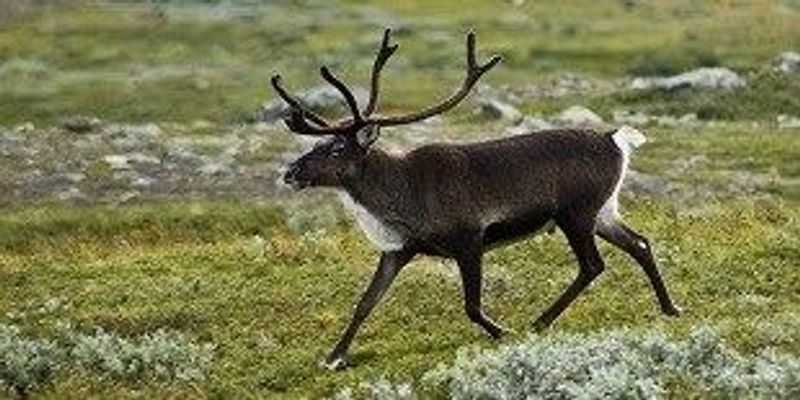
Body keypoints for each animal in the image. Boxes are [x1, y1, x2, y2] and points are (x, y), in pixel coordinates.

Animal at [271, 29, 681, 370]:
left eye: (337, 148)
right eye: (318, 144)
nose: (291, 173)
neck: (401, 192)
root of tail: (615, 139)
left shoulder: (469, 240)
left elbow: (471, 305)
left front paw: (503, 332)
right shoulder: (399, 250)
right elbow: (364, 303)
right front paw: (334, 357)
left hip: (575, 214)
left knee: (593, 265)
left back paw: (540, 321)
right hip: (602, 212)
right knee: (640, 244)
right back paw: (670, 307)